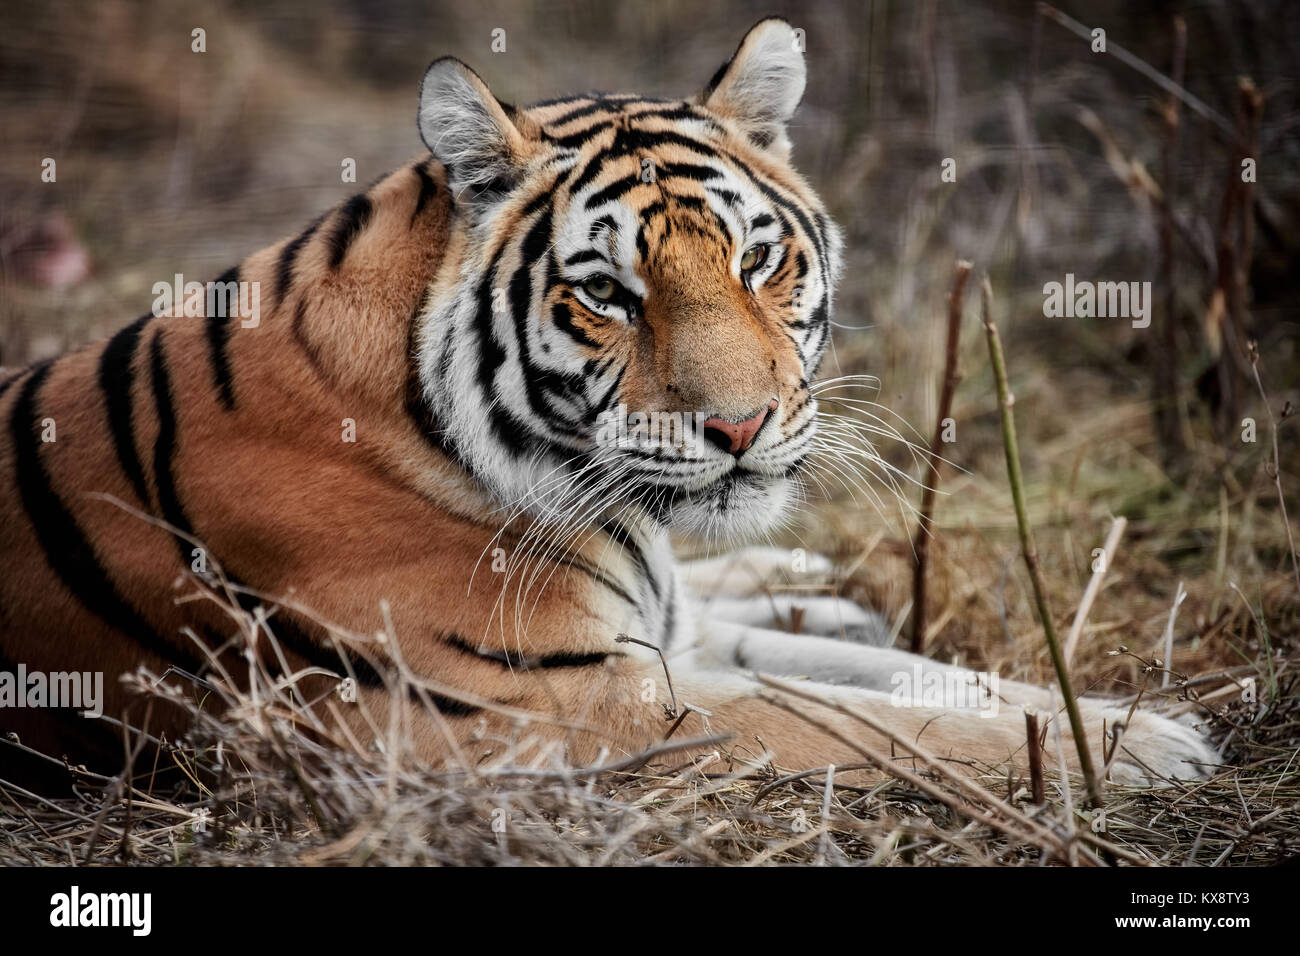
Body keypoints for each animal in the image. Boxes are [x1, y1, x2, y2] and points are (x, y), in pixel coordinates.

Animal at [0, 18, 1216, 789]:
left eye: (758, 259)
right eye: (606, 295)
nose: (739, 427)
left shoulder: (630, 657)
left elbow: (928, 676)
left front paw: (1127, 722)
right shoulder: (568, 705)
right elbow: (864, 717)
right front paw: (1147, 751)